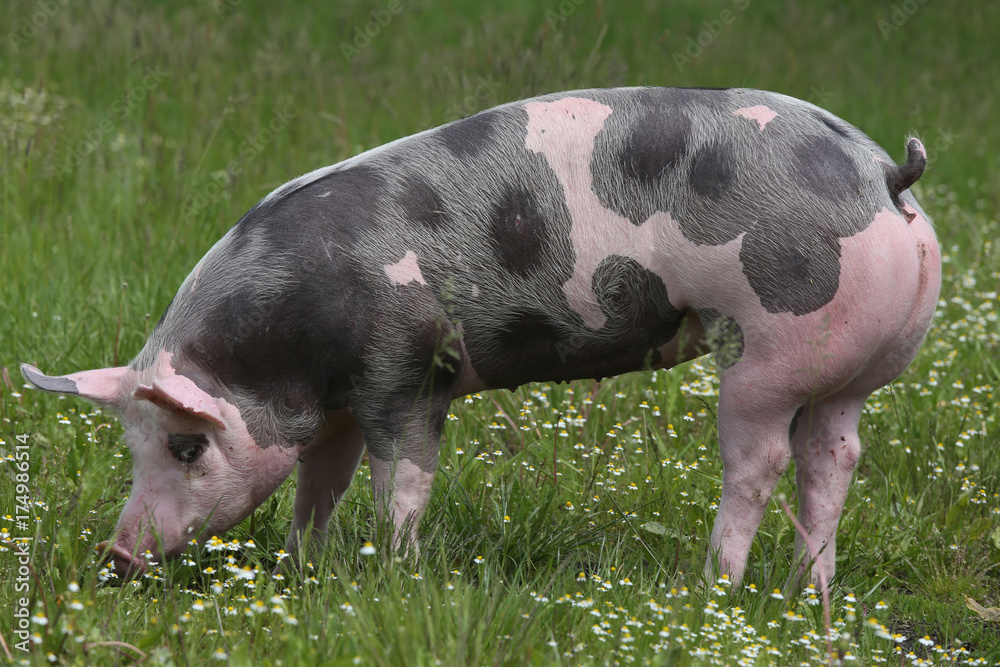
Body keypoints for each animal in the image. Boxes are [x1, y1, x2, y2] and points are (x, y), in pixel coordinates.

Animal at [22, 87, 941, 586]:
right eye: (133, 444)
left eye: (187, 445)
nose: (117, 552)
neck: (289, 350)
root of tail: (882, 173)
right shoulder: (339, 403)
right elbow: (320, 482)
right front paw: (300, 570)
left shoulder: (406, 371)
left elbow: (401, 479)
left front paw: (392, 572)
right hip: (860, 367)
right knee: (834, 459)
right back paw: (809, 594)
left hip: (768, 347)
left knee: (762, 461)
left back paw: (714, 584)